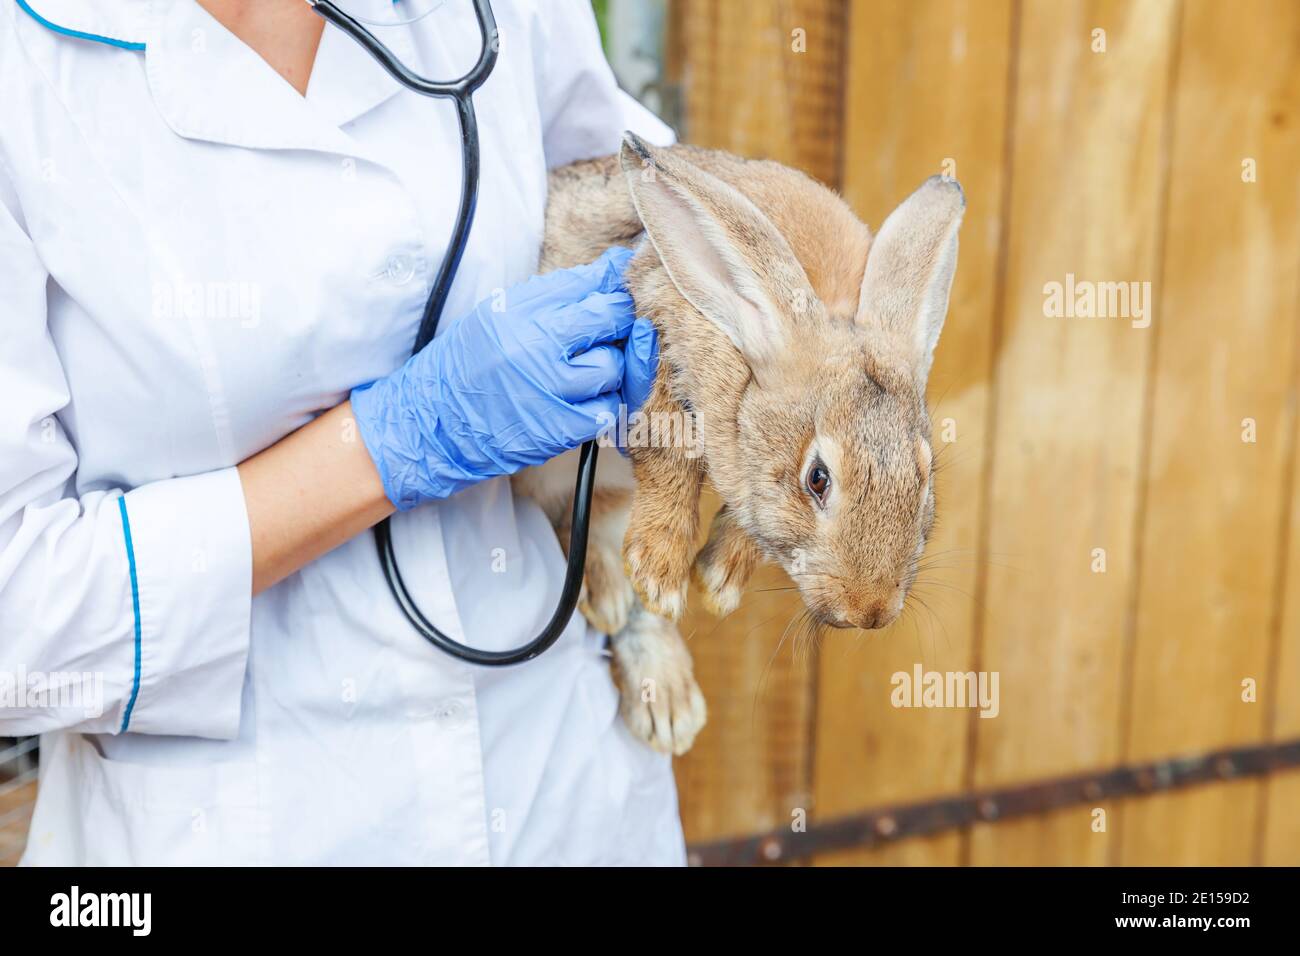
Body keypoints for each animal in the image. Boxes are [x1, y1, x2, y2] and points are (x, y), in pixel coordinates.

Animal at [513, 132, 964, 755]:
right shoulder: (655, 334)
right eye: (817, 479)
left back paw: (667, 701)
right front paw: (661, 574)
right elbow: (671, 454)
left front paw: (718, 581)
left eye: (924, 480)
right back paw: (617, 600)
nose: (869, 610)